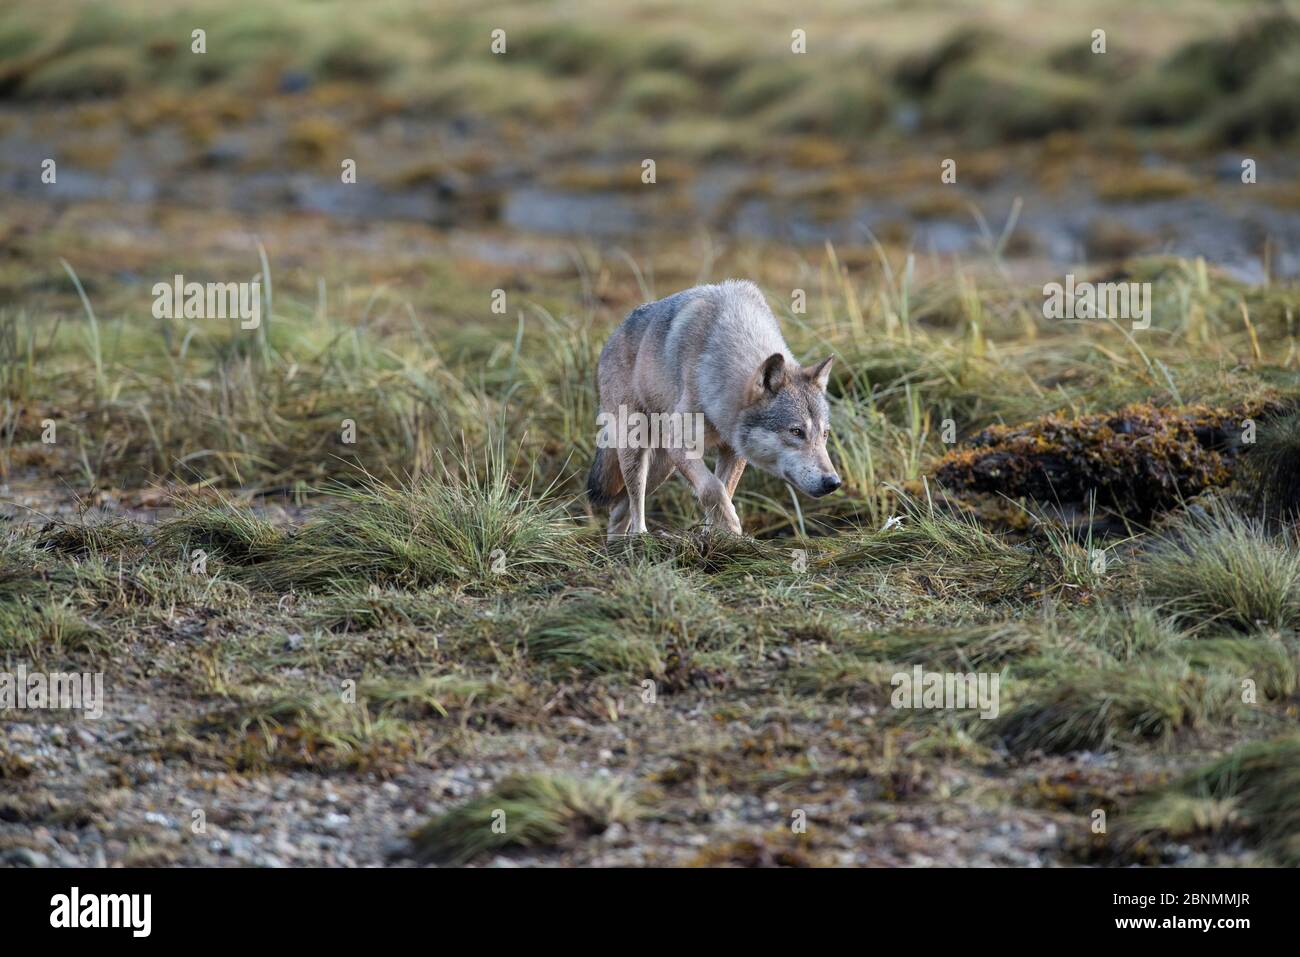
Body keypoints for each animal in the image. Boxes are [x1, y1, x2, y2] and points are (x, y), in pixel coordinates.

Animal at [587, 280, 840, 539]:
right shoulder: (680, 442)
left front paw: (718, 537)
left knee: (618, 510)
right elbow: (712, 488)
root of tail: (613, 335)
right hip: (639, 451)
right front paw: (731, 526)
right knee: (634, 500)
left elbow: (724, 489)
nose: (833, 482)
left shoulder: (733, 450)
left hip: (663, 468)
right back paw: (640, 536)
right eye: (796, 432)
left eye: (825, 434)